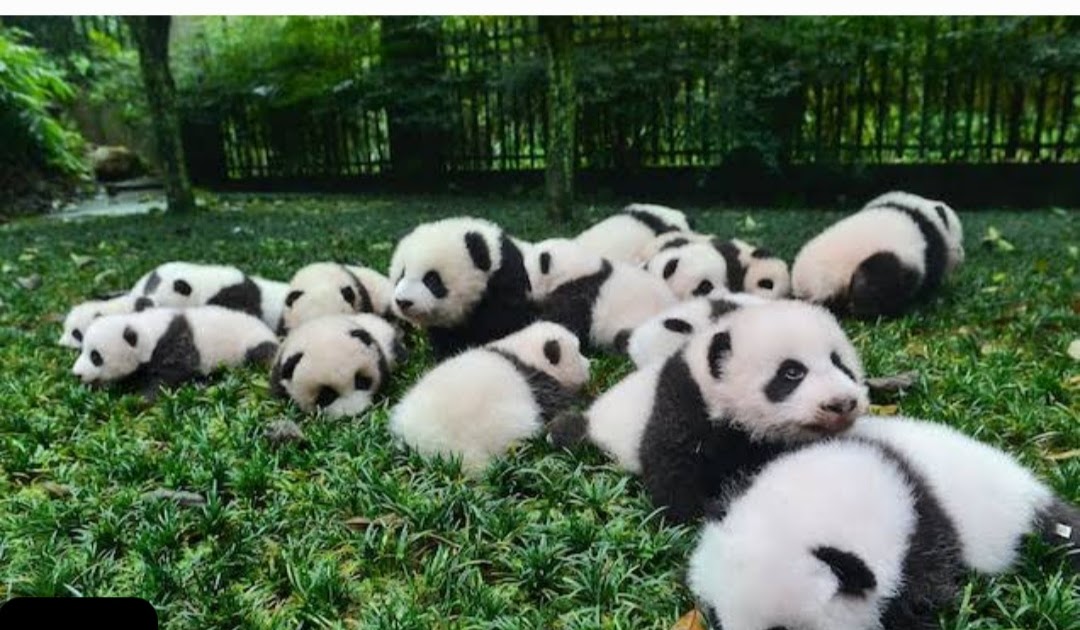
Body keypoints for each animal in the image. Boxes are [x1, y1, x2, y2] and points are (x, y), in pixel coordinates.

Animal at [72, 305, 278, 399]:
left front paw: (139, 399)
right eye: (82, 350)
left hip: (250, 343)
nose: (76, 374)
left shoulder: (175, 347)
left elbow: (169, 377)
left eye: (95, 357)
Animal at [389, 321, 589, 474]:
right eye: (579, 351)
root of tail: (422, 443)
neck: (525, 353)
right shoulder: (539, 386)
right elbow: (558, 403)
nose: (590, 364)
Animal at [791, 191, 964, 318]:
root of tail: (809, 284)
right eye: (960, 241)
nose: (962, 256)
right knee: (877, 281)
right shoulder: (929, 247)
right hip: (883, 263)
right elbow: (929, 278)